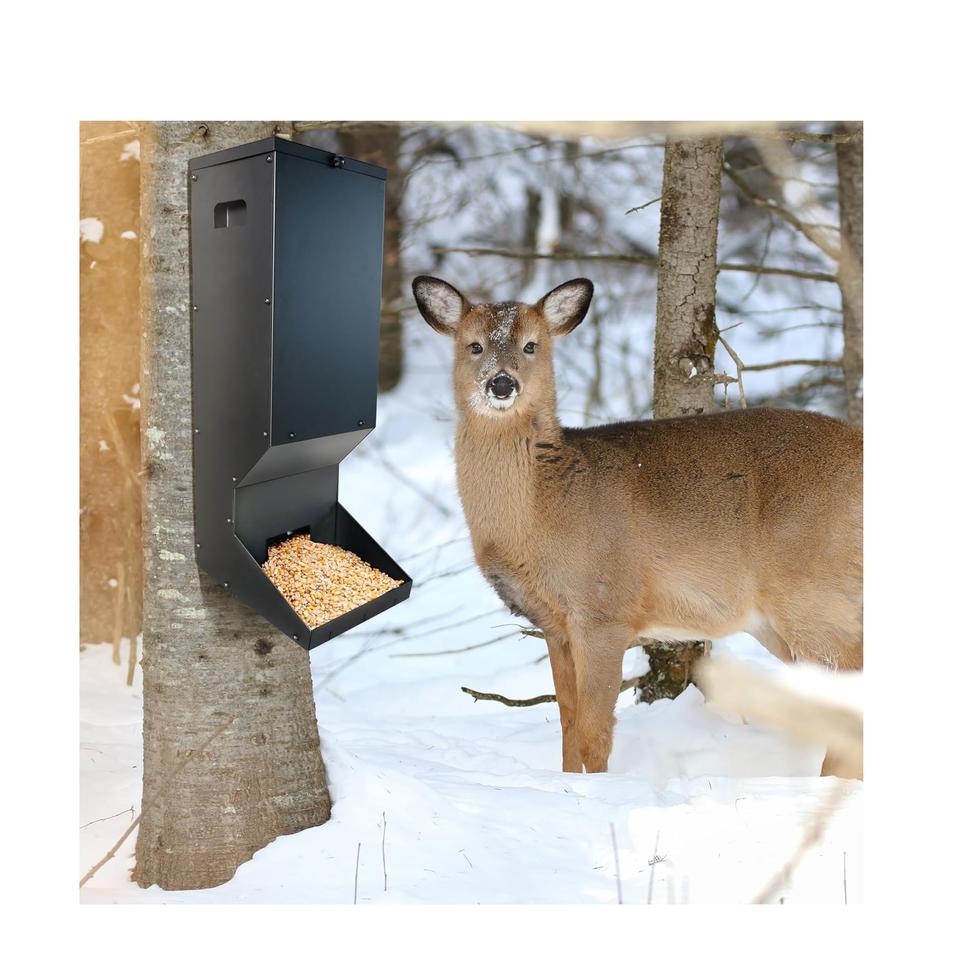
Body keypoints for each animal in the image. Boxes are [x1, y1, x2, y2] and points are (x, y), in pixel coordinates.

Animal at [412, 275, 863, 776]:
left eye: (531, 345)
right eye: (473, 345)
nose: (502, 383)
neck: (542, 510)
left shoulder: (605, 607)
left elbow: (594, 732)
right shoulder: (555, 624)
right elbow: (568, 723)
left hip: (814, 593)